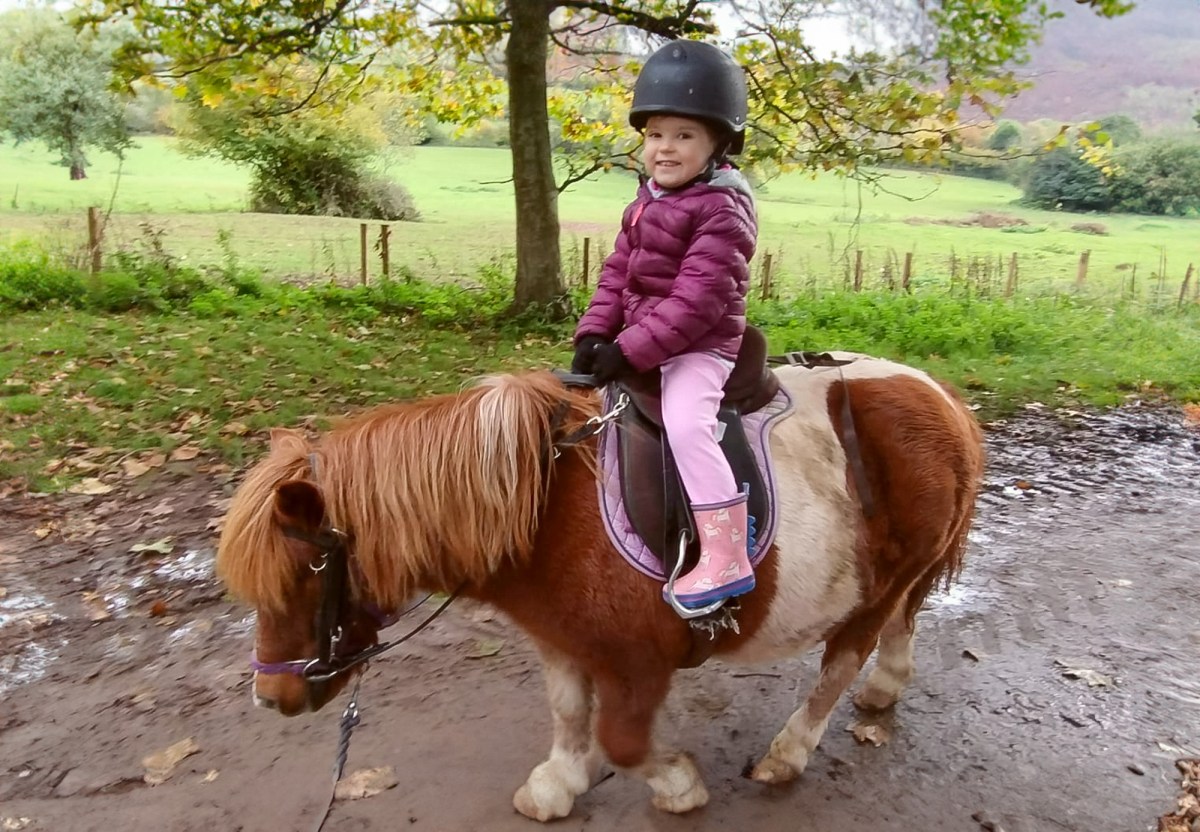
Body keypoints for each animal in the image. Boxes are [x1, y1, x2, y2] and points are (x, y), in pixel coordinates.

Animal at [216, 355, 985, 821]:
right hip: (898, 576)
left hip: (873, 593)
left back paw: (788, 753)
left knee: (843, 661)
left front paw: (678, 784)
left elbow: (621, 740)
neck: (544, 504)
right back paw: (886, 686)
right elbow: (567, 713)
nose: (271, 695)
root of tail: (937, 394)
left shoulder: (638, 663)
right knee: (902, 621)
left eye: (303, 574)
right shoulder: (560, 639)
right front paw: (559, 782)